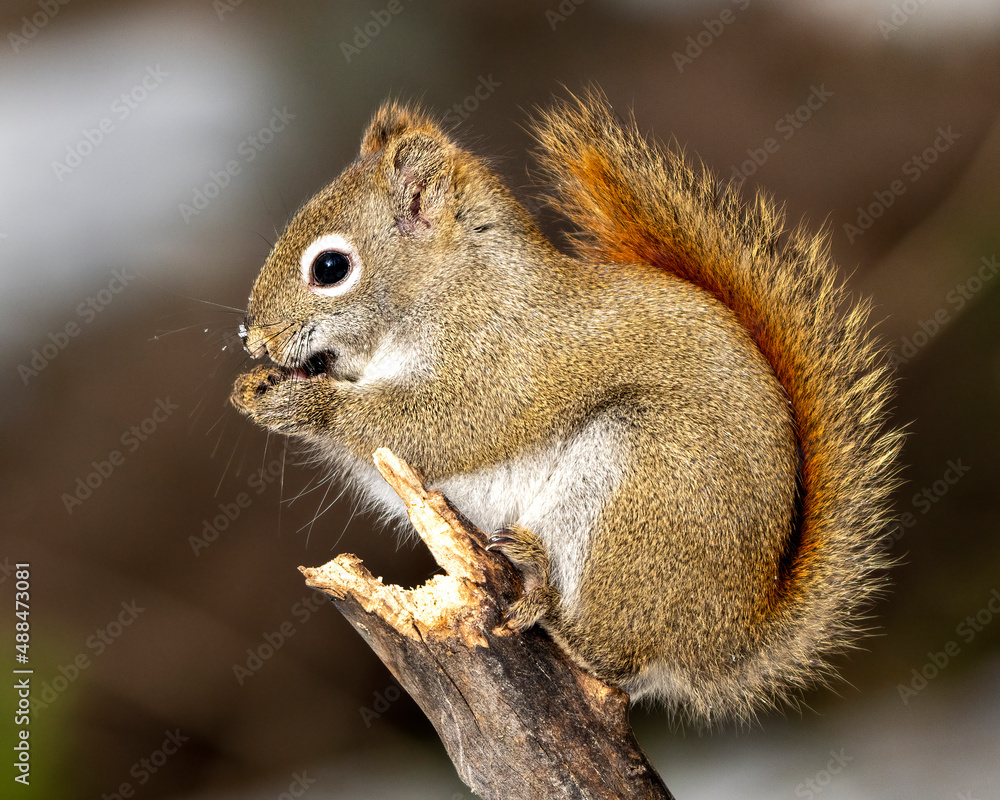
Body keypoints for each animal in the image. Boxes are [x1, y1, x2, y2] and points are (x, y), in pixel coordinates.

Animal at [231, 90, 902, 724]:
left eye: (330, 267)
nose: (254, 339)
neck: (451, 286)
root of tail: (722, 641)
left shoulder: (500, 366)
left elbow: (432, 428)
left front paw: (299, 402)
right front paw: (252, 387)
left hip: (636, 489)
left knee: (617, 659)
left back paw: (552, 605)